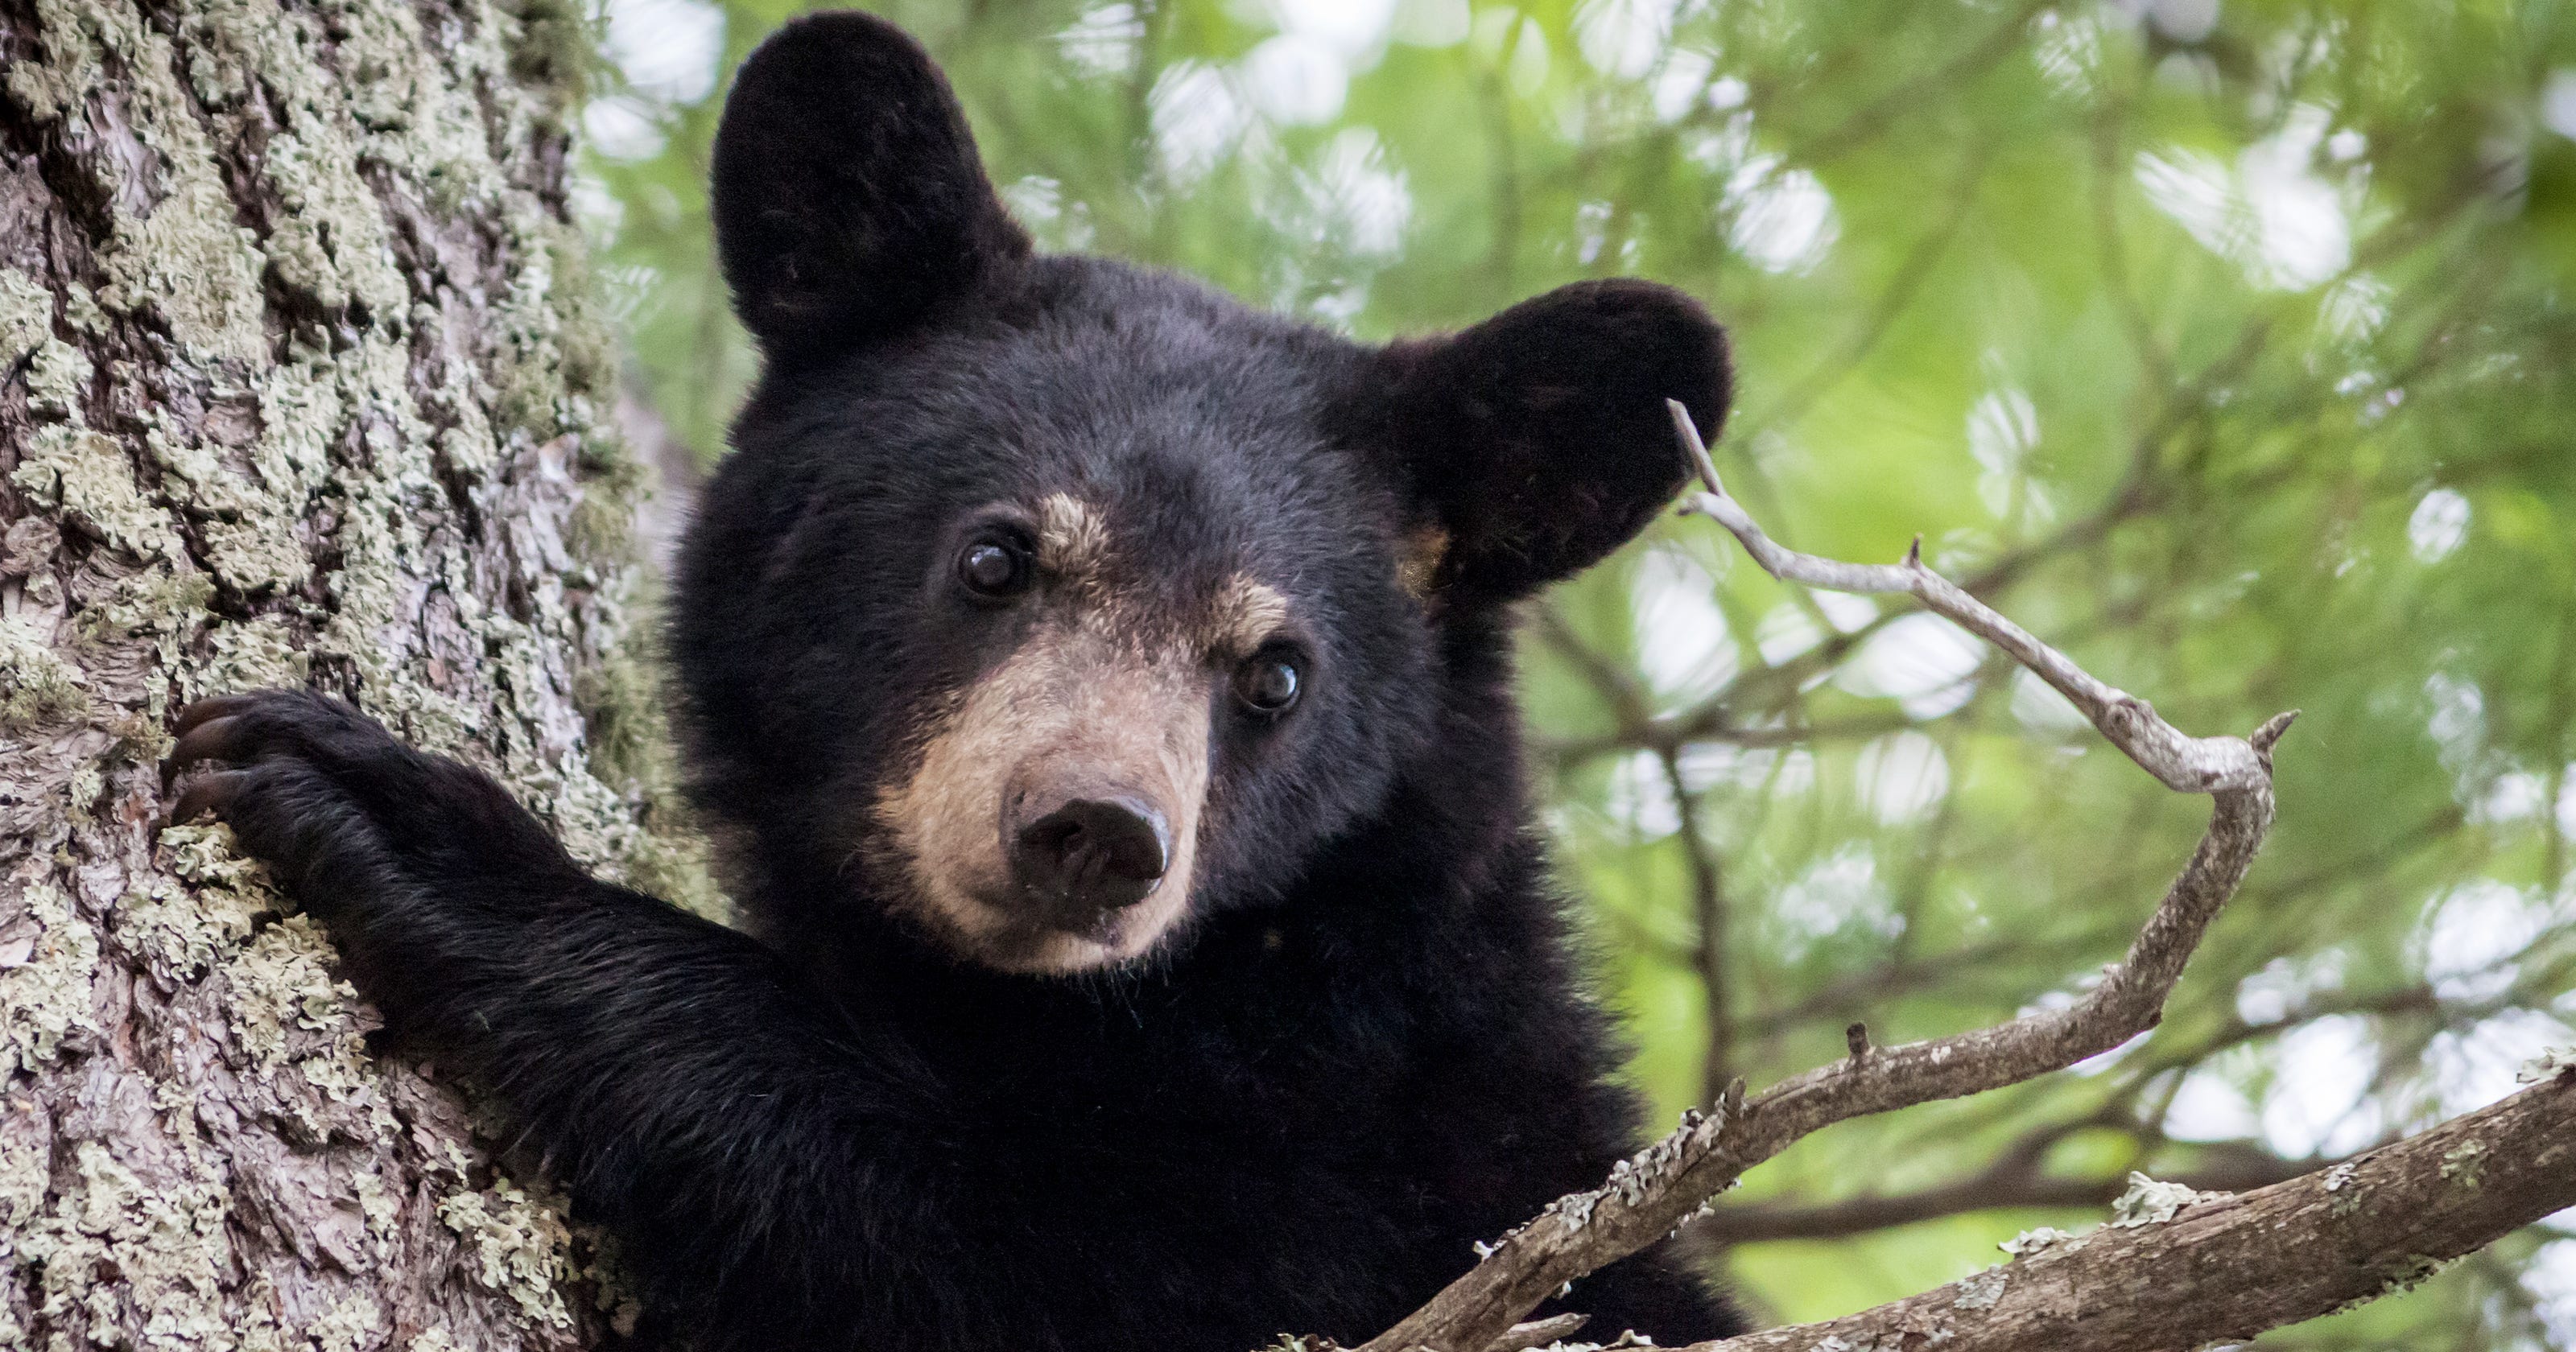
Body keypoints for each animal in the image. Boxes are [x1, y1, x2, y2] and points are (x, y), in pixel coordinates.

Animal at [164, 12, 1744, 1352]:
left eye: (1279, 676)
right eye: (995, 559)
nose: (1096, 830)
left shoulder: (1363, 1216)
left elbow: (1001, 1251)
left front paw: (409, 827)